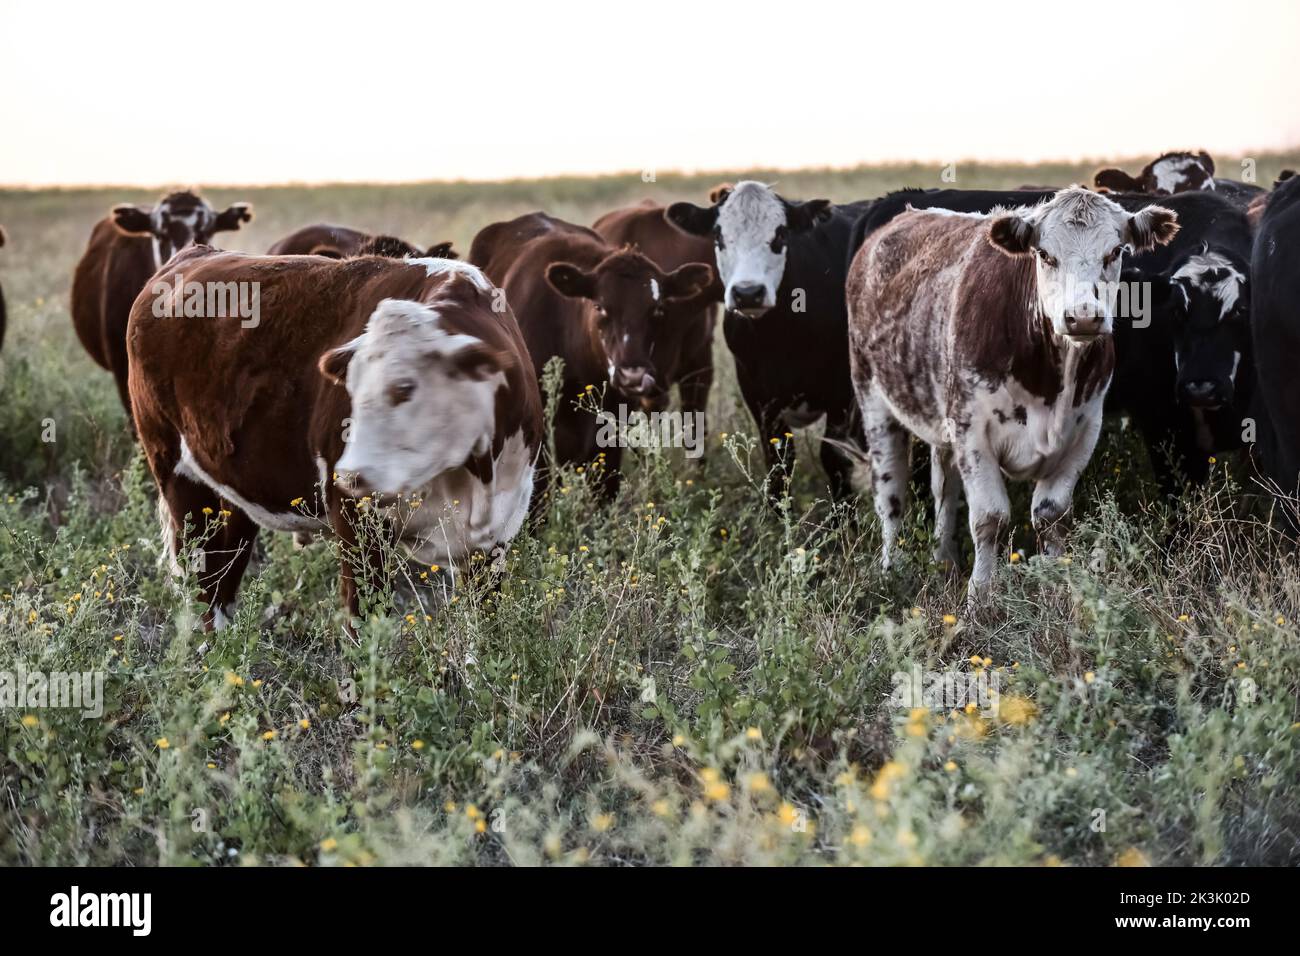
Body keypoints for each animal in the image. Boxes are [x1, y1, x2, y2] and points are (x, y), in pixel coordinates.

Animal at [126, 249, 542, 628]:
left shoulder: (494, 537)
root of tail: (190, 255)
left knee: (223, 578)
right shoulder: (357, 523)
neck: (474, 477)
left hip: (234, 491)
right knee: (202, 581)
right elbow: (365, 622)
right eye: (351, 392)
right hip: (179, 478)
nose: (350, 474)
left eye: (405, 387)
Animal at [666, 182, 874, 502]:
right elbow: (778, 462)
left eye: (780, 234)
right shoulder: (757, 393)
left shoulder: (842, 392)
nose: (748, 293)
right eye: (718, 236)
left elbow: (834, 458)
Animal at [846, 187, 1178, 598]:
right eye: (1045, 254)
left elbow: (1051, 515)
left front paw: (1057, 589)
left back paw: (944, 561)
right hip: (873, 399)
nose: (1083, 315)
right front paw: (978, 599)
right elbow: (990, 519)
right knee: (890, 495)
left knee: (944, 490)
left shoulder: (1085, 429)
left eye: (1115, 251)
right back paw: (891, 569)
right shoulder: (972, 431)